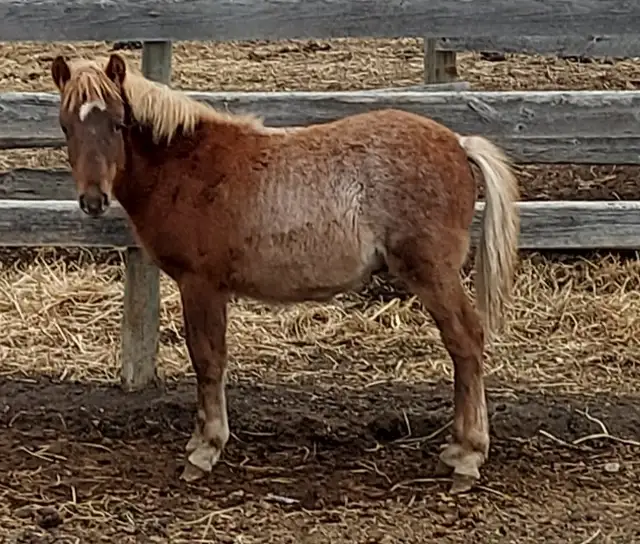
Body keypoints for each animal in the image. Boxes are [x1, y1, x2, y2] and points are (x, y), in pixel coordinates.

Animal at [50, 53, 520, 494]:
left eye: (117, 124)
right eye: (66, 127)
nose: (93, 200)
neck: (188, 165)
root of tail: (458, 143)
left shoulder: (201, 284)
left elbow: (208, 360)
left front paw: (205, 449)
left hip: (433, 274)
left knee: (465, 341)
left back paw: (467, 455)